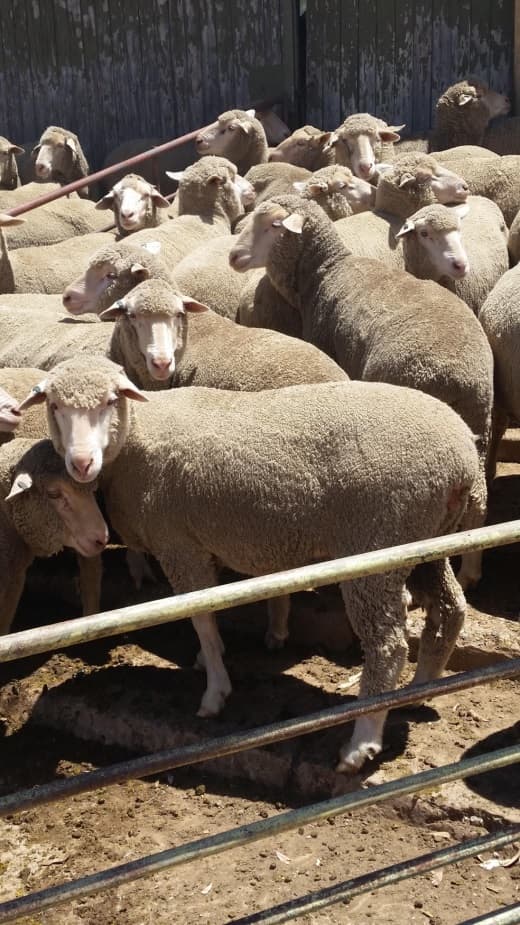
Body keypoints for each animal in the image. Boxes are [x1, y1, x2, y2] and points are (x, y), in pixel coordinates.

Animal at [22, 355, 478, 772]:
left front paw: (215, 693)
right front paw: (211, 660)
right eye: (55, 406)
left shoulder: (180, 546)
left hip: (377, 546)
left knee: (388, 646)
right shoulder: (198, 546)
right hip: (426, 540)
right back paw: (418, 692)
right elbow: (209, 618)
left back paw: (361, 740)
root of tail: (463, 458)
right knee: (449, 610)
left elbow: (201, 618)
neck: (136, 438)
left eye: (111, 400)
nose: (81, 463)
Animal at [229, 195, 494, 590]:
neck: (327, 271)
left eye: (273, 225)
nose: (233, 255)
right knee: (478, 500)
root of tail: (455, 377)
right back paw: (471, 569)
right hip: (480, 420)